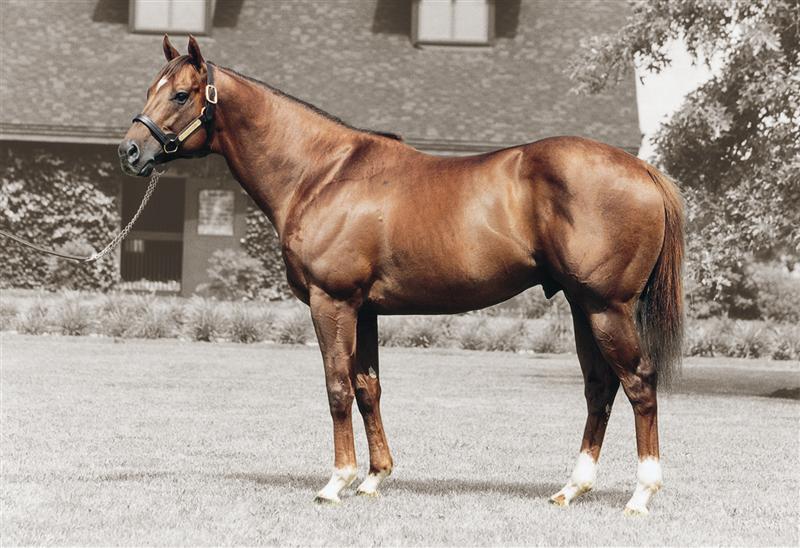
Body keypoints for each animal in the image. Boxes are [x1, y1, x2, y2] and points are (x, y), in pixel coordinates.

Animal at [119, 36, 684, 515]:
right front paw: (373, 478)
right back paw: (571, 488)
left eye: (181, 94)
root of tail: (642, 171)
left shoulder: (332, 302)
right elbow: (368, 387)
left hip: (605, 307)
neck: (321, 174)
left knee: (638, 382)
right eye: (150, 90)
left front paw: (336, 483)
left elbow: (337, 387)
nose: (129, 151)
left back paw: (641, 494)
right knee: (599, 387)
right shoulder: (364, 310)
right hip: (581, 305)